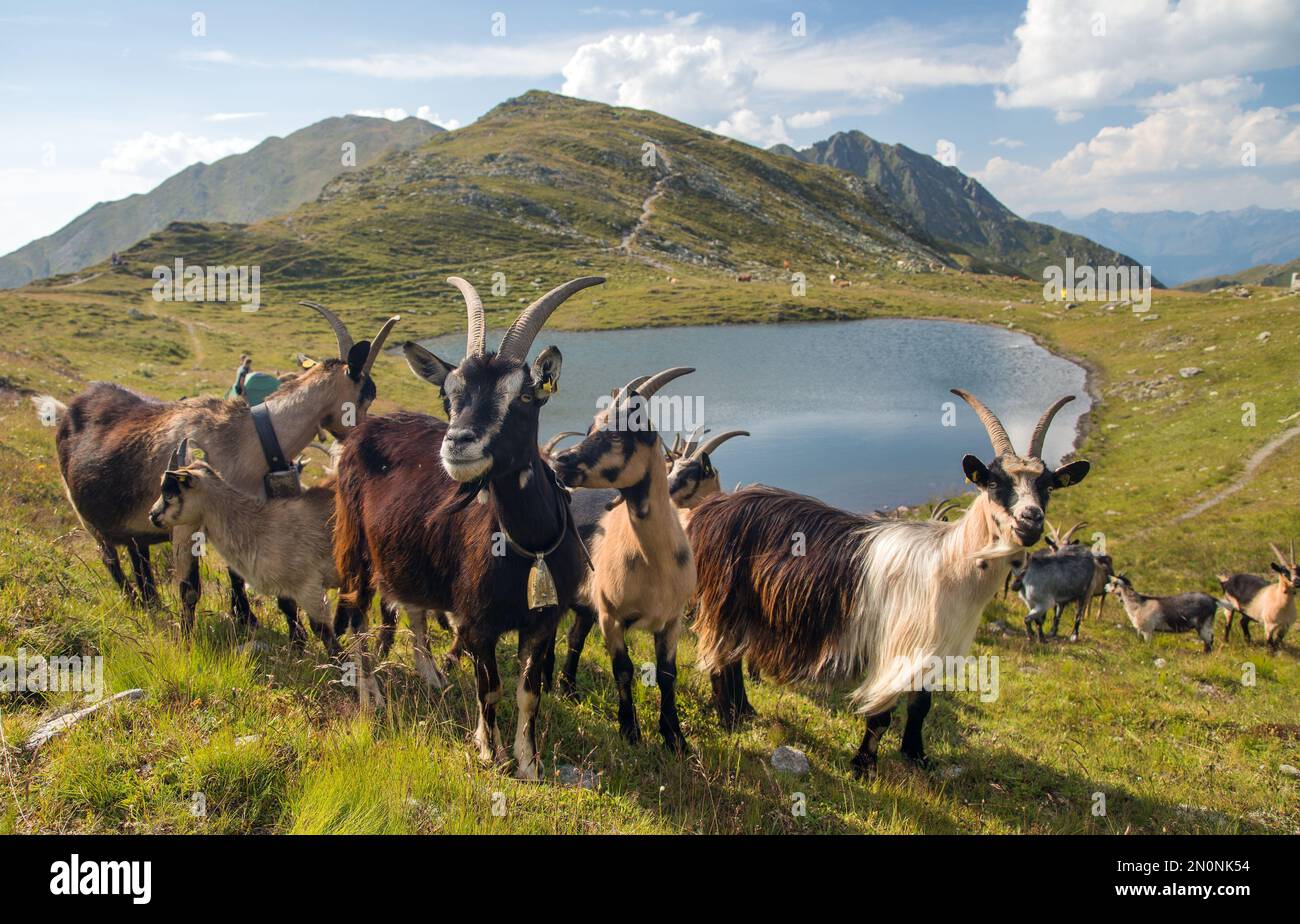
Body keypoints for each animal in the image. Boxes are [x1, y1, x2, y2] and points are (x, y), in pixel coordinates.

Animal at [37, 304, 396, 632]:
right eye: (366, 393)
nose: (362, 438)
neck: (246, 439)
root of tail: (66, 409)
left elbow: (238, 575)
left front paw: (248, 620)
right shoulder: (184, 522)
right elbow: (189, 588)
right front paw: (189, 640)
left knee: (139, 556)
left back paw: (151, 603)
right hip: (84, 513)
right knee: (110, 557)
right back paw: (134, 601)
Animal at [332, 275, 601, 779]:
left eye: (523, 395)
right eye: (448, 395)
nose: (458, 443)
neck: (529, 544)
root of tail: (361, 429)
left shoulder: (543, 623)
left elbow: (529, 693)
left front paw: (529, 763)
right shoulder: (476, 622)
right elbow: (490, 688)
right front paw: (487, 752)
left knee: (413, 611)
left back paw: (431, 676)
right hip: (355, 546)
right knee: (357, 616)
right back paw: (371, 697)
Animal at [551, 368, 698, 750]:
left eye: (619, 434)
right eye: (590, 428)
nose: (561, 460)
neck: (655, 565)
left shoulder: (672, 620)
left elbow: (667, 674)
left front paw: (674, 737)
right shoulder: (611, 616)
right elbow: (624, 669)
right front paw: (629, 730)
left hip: (586, 602)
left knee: (574, 636)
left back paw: (568, 689)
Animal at [687, 390, 1089, 776]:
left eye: (1048, 486)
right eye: (993, 482)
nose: (1030, 520)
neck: (947, 564)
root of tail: (709, 511)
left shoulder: (931, 648)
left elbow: (921, 705)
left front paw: (916, 756)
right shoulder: (894, 645)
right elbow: (881, 714)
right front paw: (864, 766)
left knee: (733, 656)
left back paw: (744, 711)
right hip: (722, 600)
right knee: (720, 660)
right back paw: (729, 719)